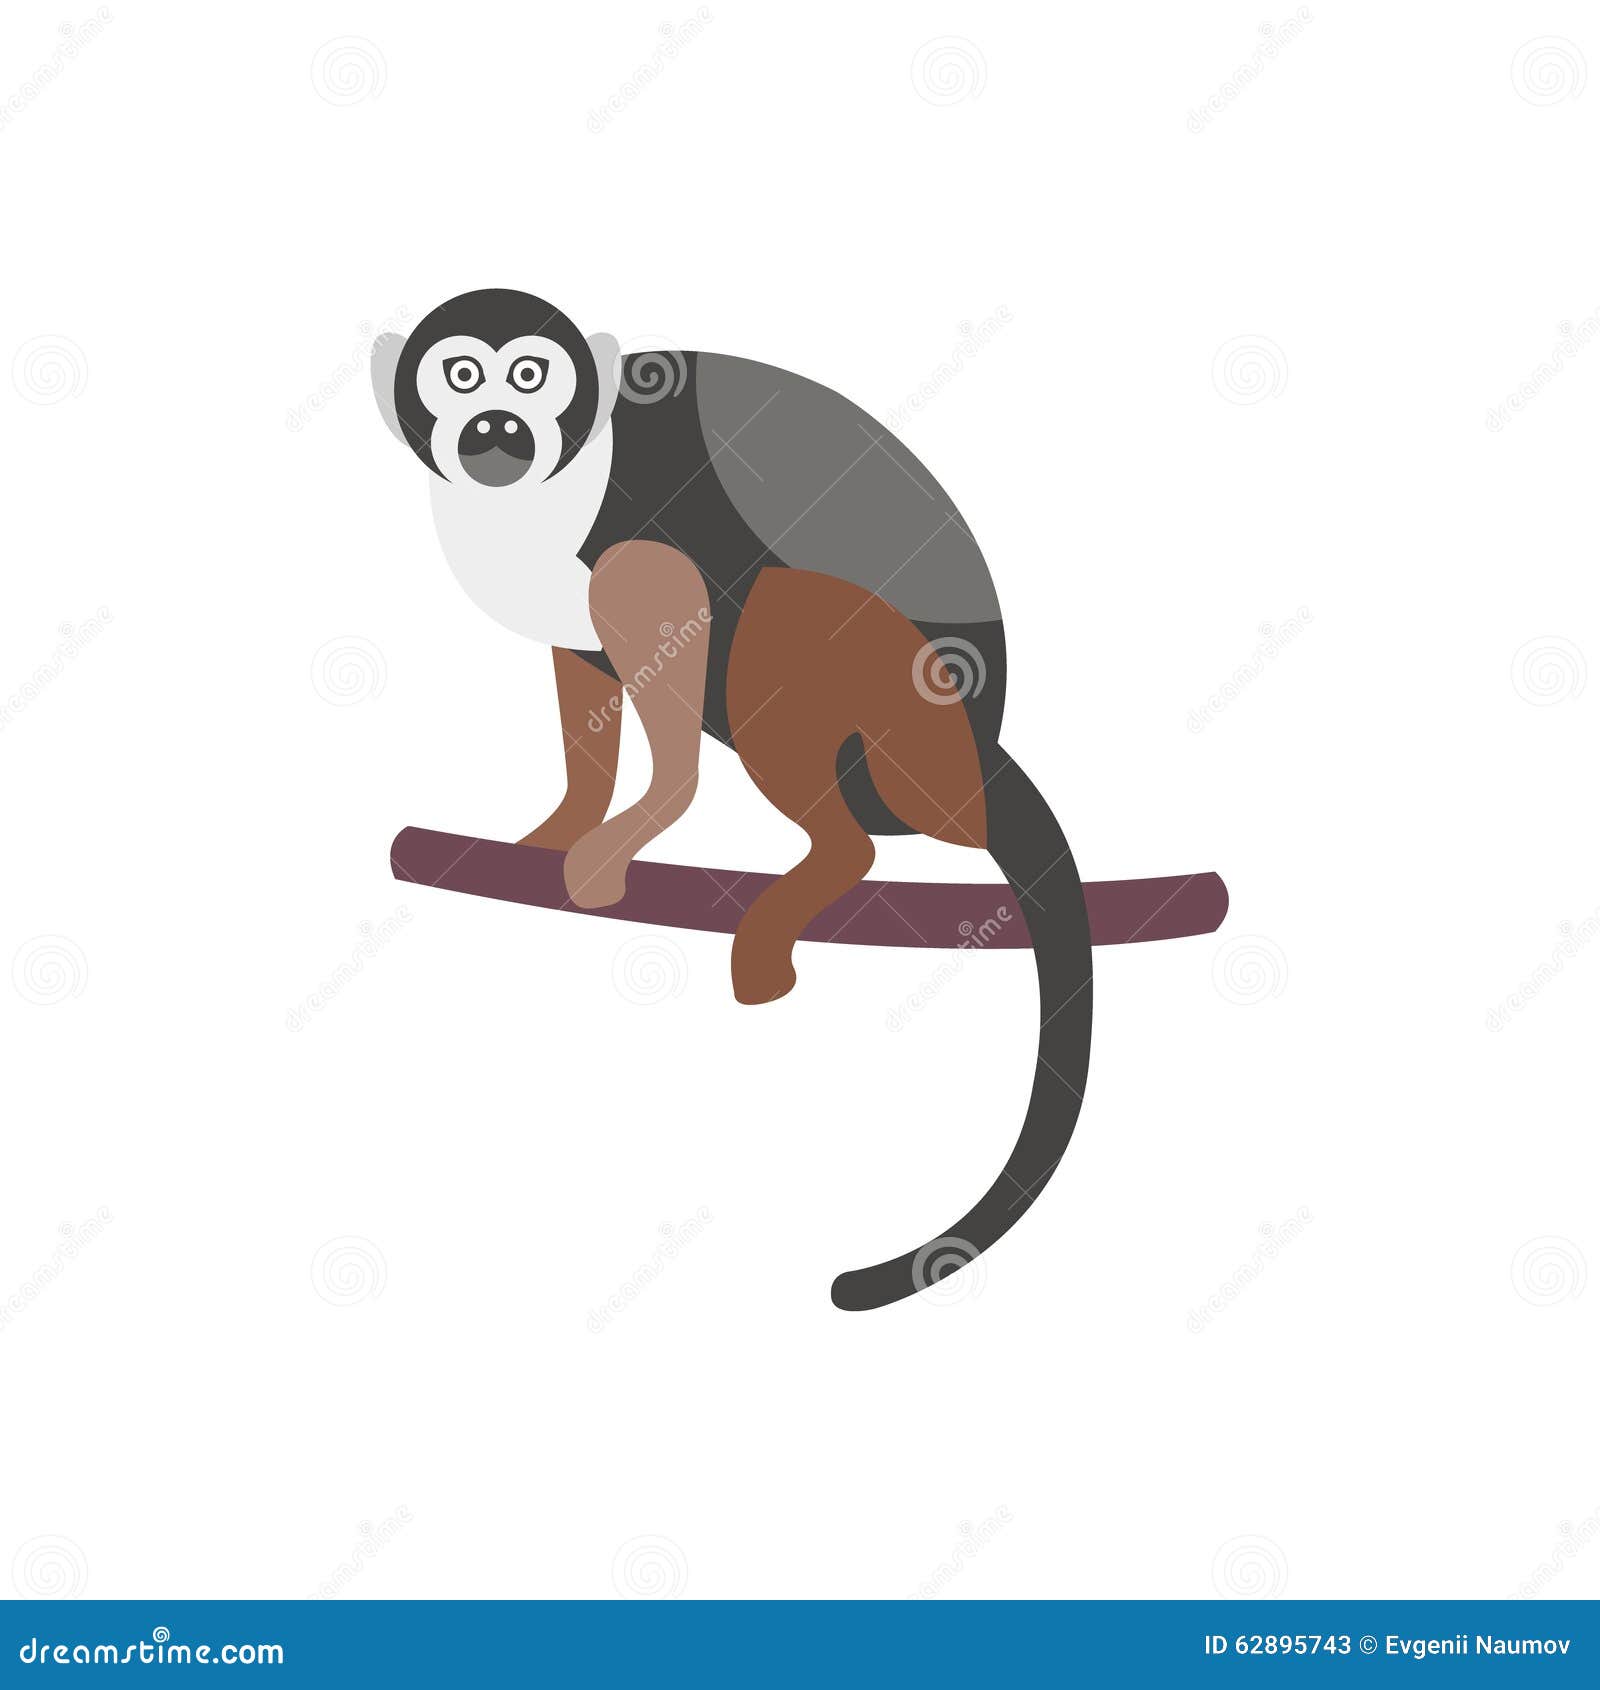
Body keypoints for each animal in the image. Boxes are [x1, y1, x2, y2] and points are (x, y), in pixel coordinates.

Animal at [371, 288, 1093, 1311]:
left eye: (530, 376)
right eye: (461, 376)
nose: (498, 428)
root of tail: (979, 753)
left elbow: (664, 599)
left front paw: (634, 829)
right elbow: (582, 671)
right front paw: (557, 828)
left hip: (910, 712)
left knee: (759, 621)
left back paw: (824, 869)